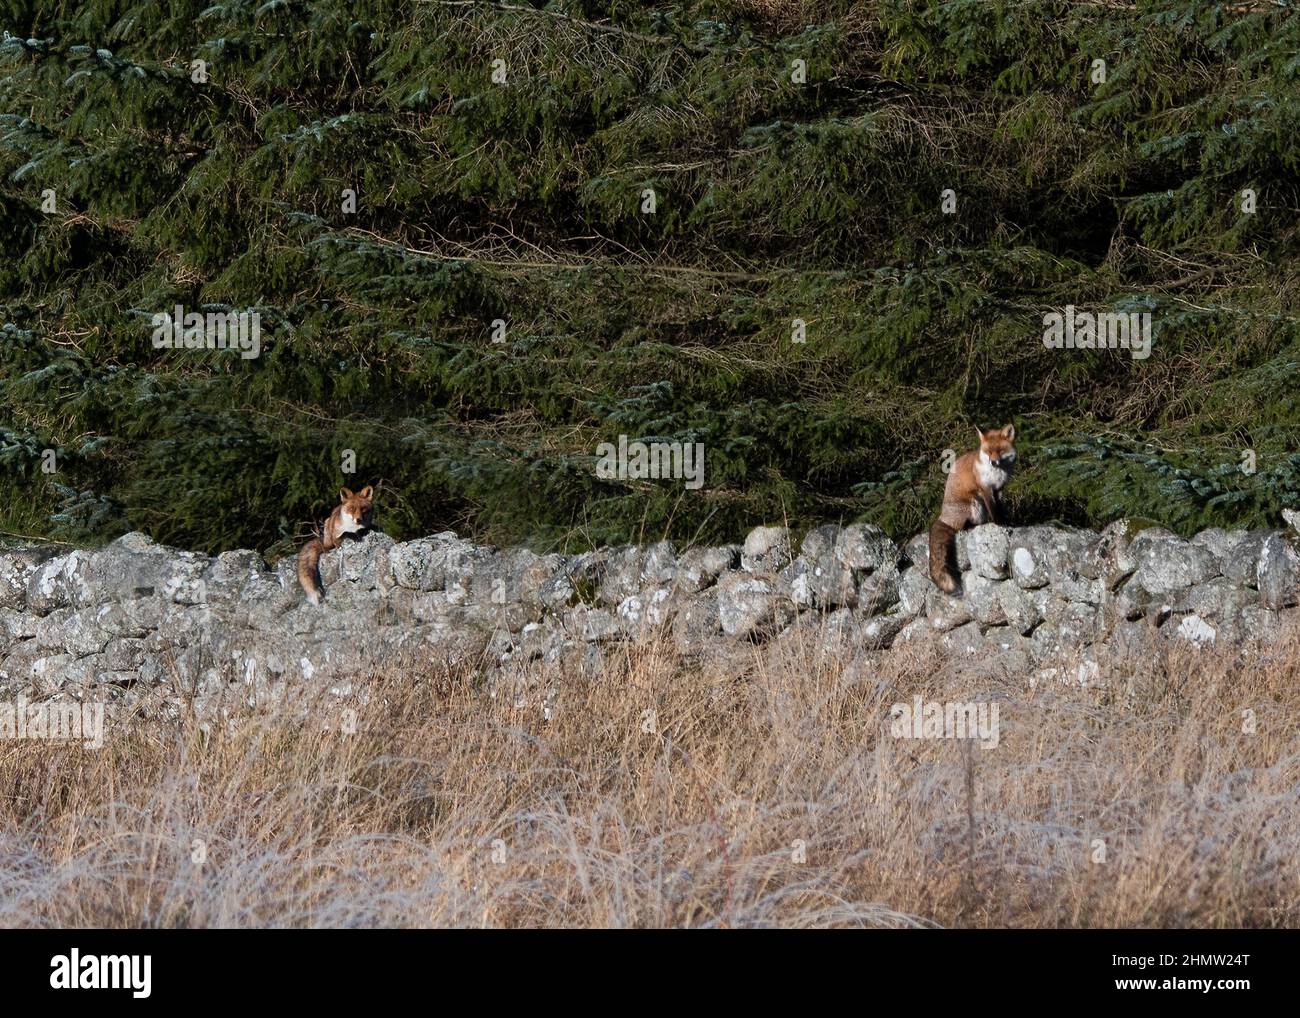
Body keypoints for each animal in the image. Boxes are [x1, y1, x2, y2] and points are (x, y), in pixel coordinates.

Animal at [928, 425, 1017, 594]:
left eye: (1000, 450)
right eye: (988, 451)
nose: (993, 462)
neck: (997, 474)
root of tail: (943, 517)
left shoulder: (999, 490)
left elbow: (1000, 508)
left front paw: (1007, 521)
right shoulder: (985, 489)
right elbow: (993, 510)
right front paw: (999, 524)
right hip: (973, 504)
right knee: (961, 527)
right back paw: (972, 526)